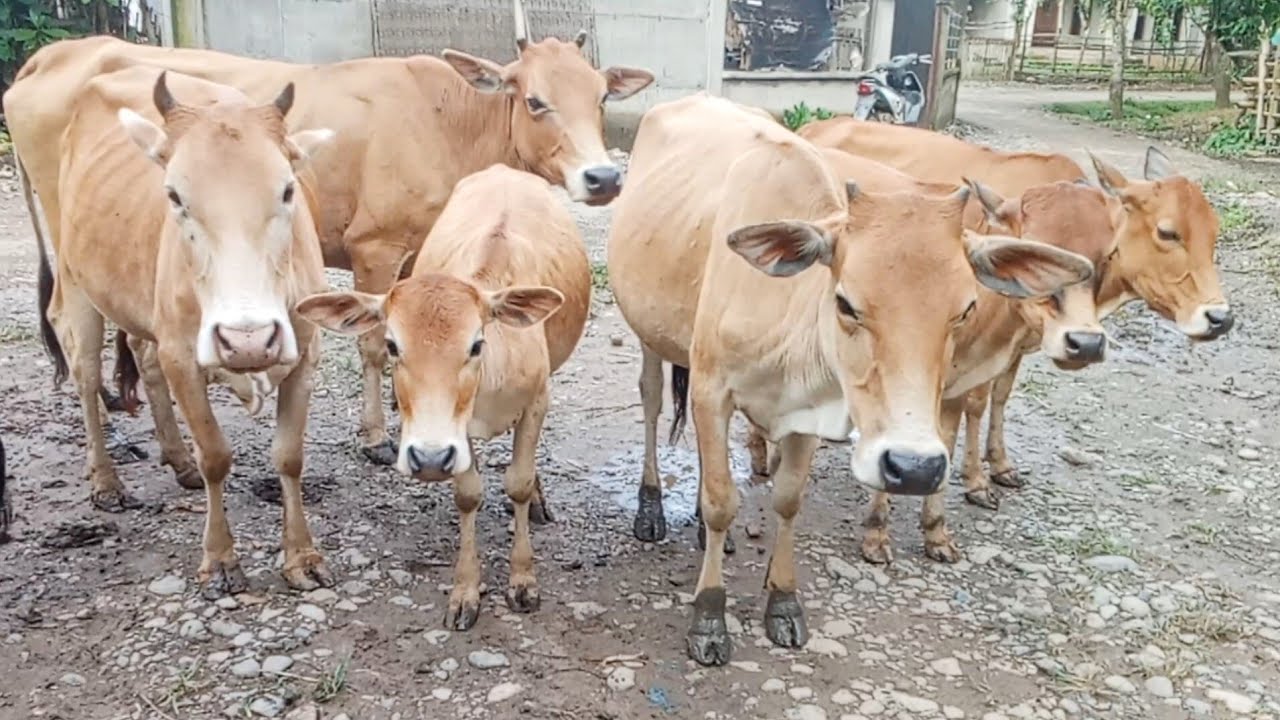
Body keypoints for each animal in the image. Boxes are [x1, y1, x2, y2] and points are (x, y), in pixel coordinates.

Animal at [2, 0, 653, 490]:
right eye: (536, 100)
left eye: (599, 98)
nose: (604, 178)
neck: (450, 121)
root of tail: (48, 59)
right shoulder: (375, 247)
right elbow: (368, 345)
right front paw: (375, 436)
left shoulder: (416, 253)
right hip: (70, 247)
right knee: (71, 330)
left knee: (140, 341)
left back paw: (174, 454)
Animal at [44, 69, 335, 596]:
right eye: (175, 196)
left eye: (287, 191)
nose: (246, 340)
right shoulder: (182, 354)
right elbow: (216, 455)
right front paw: (219, 560)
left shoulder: (305, 350)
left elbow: (289, 457)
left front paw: (302, 557)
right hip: (76, 279)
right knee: (85, 374)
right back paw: (106, 481)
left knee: (144, 358)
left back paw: (177, 459)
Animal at [297, 164, 590, 630]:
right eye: (393, 345)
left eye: (475, 344)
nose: (430, 458)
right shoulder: (457, 430)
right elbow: (468, 493)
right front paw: (465, 591)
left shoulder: (537, 400)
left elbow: (520, 482)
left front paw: (522, 580)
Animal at [606, 94, 1096, 665]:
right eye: (846, 303)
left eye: (966, 309)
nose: (914, 466)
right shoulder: (712, 389)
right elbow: (721, 503)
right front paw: (709, 616)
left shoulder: (808, 412)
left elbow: (788, 499)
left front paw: (783, 600)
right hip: (650, 336)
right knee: (652, 403)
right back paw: (651, 507)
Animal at [799, 119, 1234, 511]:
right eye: (1167, 232)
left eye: (1108, 253)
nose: (1220, 318)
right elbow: (975, 403)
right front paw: (975, 482)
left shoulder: (1015, 345)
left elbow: (1000, 395)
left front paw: (1000, 466)